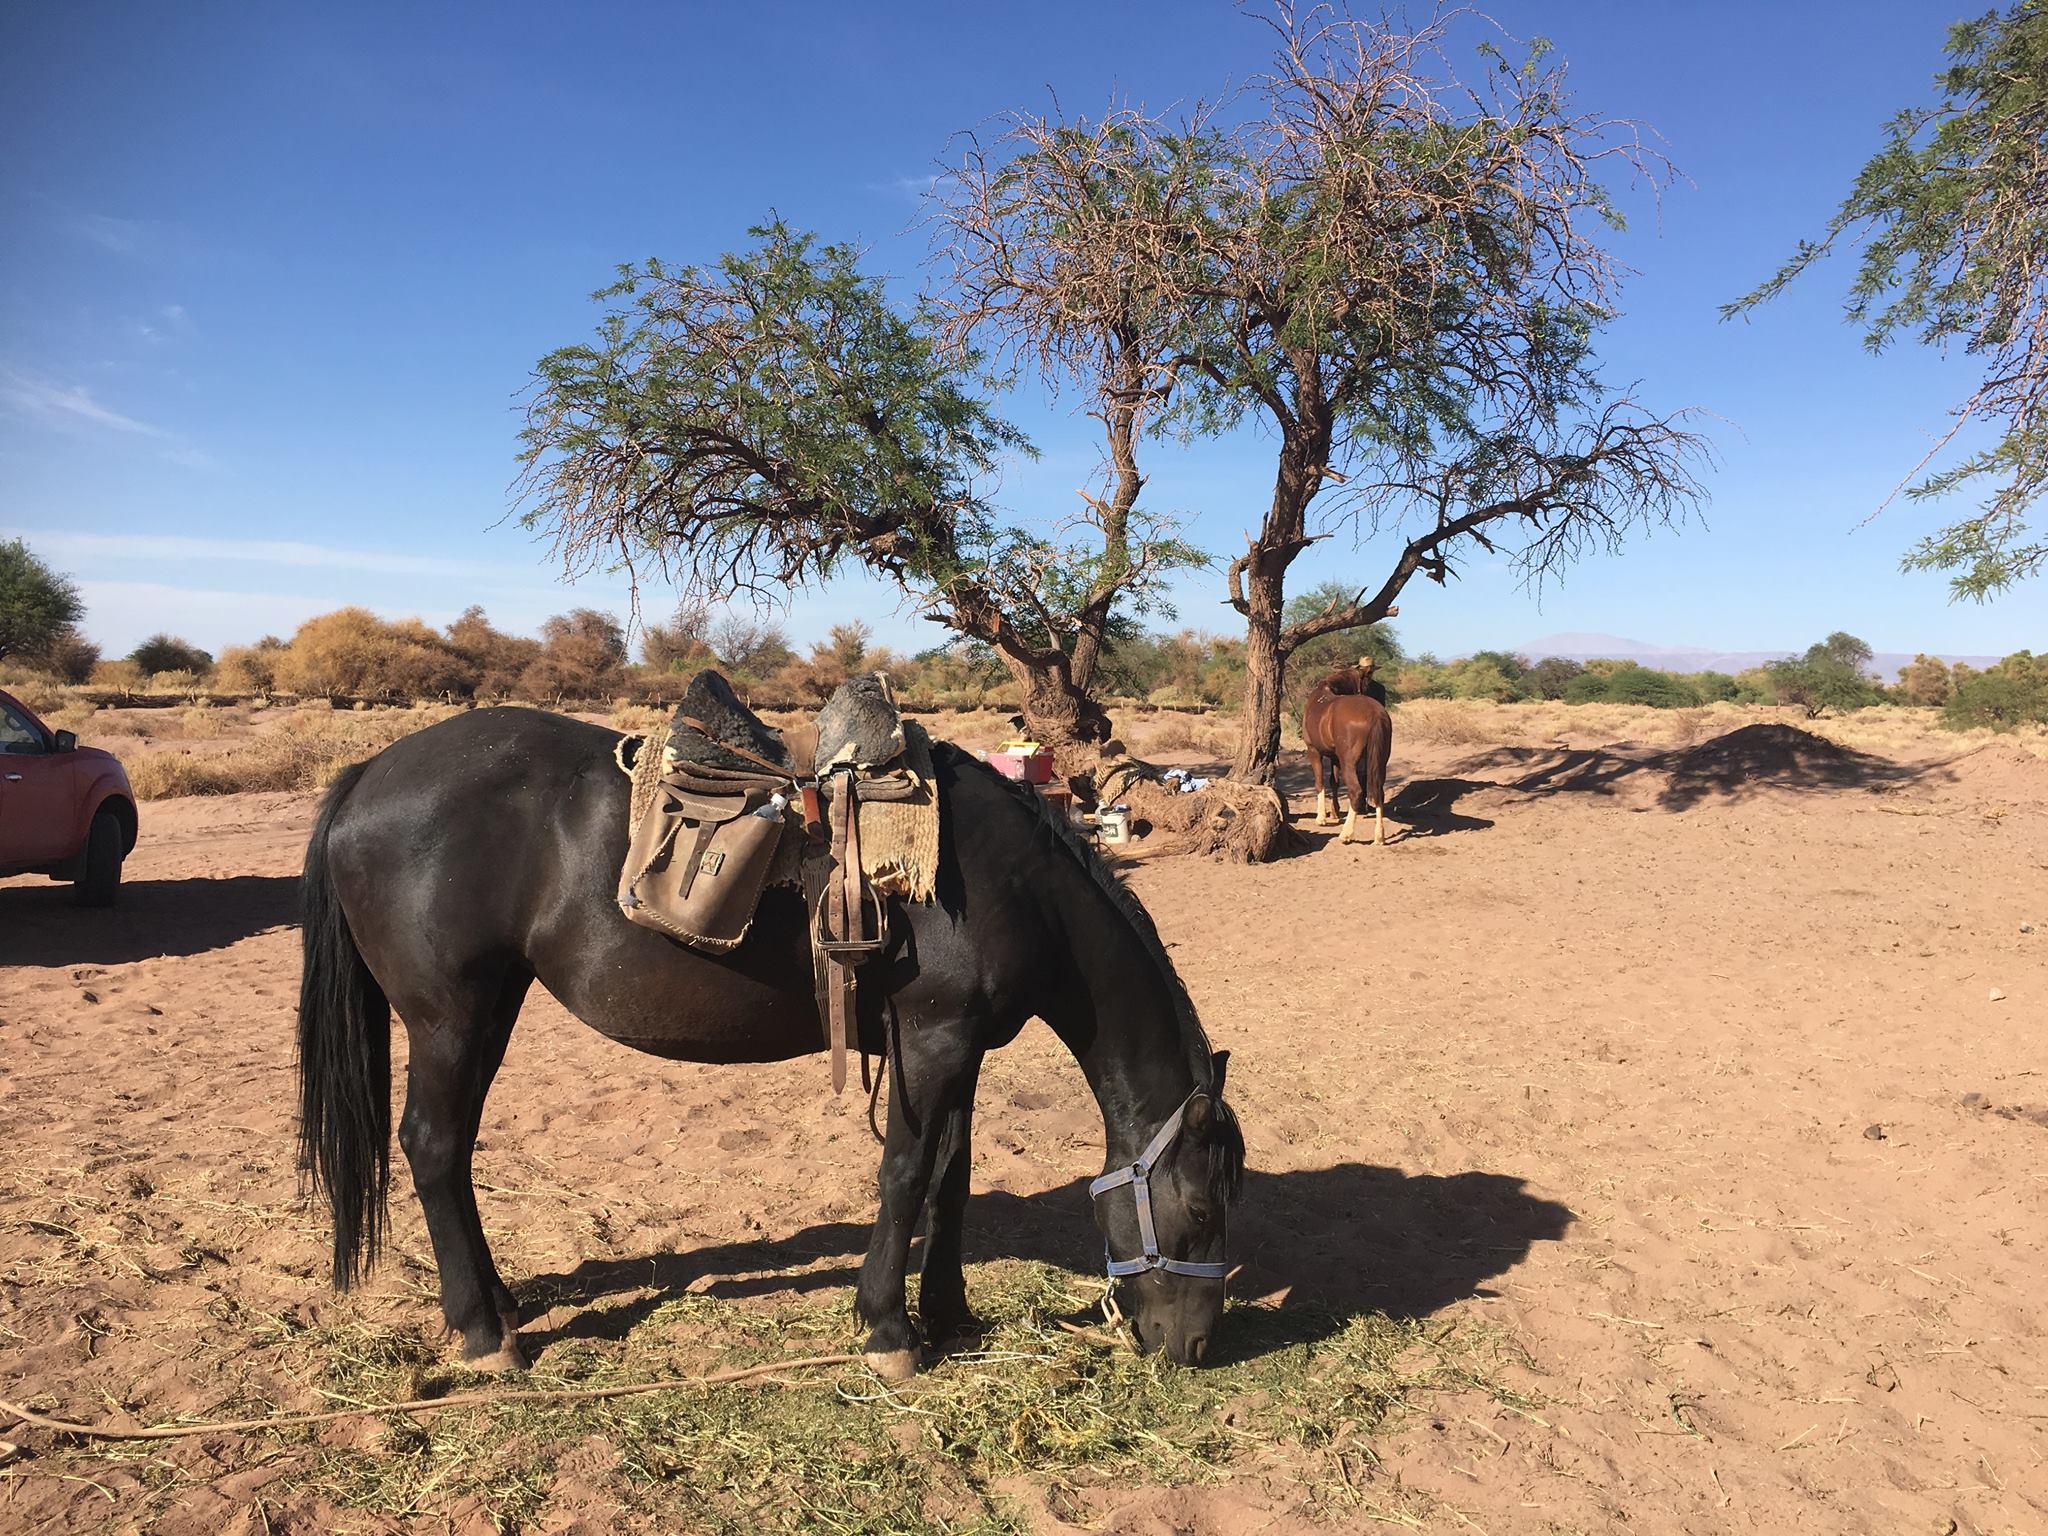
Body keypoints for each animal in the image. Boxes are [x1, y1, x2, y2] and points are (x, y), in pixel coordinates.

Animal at [296, 704, 1245, 1380]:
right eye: (1202, 1210)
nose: (1196, 1349)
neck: (1005, 880)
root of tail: (371, 773)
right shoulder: (933, 1039)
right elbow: (906, 1176)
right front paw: (890, 1332)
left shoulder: (960, 1047)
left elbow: (953, 1177)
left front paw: (950, 1314)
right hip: (448, 1018)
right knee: (430, 1146)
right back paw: (484, 1336)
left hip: (491, 1008)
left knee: (452, 1154)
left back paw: (495, 1304)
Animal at [1302, 667, 1394, 846]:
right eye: (1367, 681)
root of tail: (1375, 713)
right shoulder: (1335, 757)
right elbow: (1334, 782)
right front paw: (1335, 812)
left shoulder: (1313, 751)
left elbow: (1320, 782)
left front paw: (1321, 817)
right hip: (1380, 762)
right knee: (1379, 792)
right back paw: (1379, 836)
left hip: (1349, 763)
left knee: (1356, 792)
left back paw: (1346, 834)